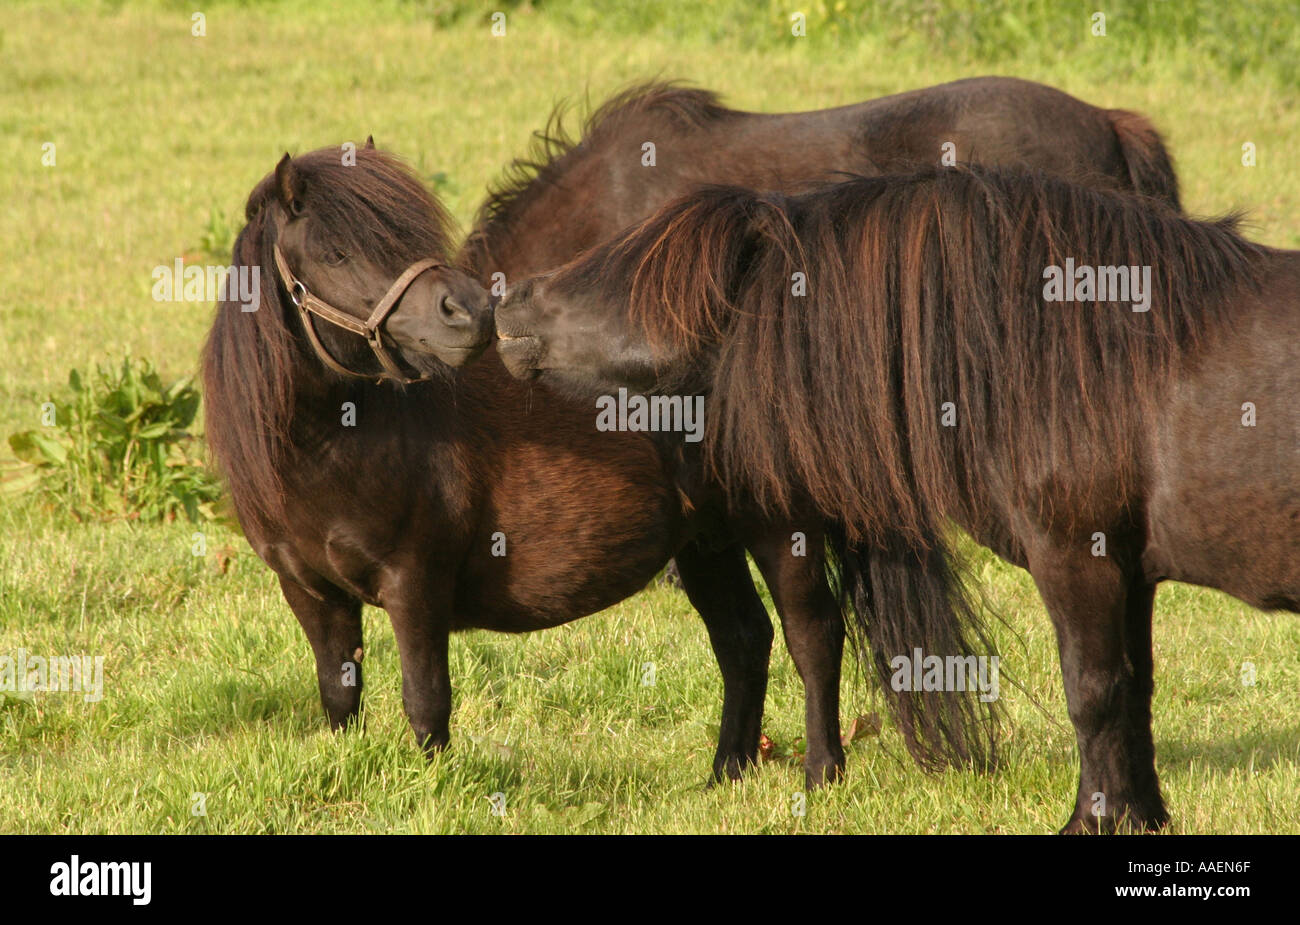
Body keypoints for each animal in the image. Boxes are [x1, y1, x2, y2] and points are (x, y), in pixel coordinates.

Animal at [493, 165, 1299, 831]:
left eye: (634, 275)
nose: (510, 303)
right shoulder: (1129, 571)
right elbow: (1135, 695)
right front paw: (1140, 816)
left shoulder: (1078, 557)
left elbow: (1094, 692)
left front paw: (1090, 820)